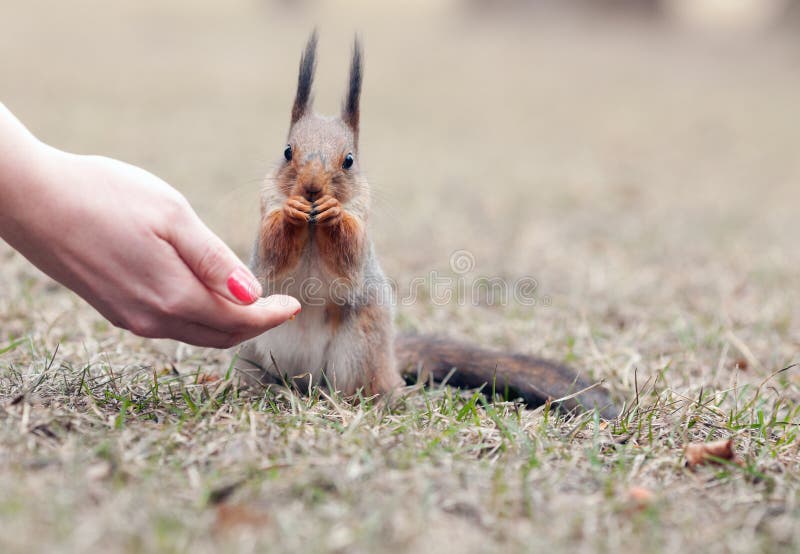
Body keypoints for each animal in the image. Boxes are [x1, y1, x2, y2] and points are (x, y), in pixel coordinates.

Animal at [236, 32, 618, 419]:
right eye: (287, 152)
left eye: (349, 160)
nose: (312, 189)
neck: (312, 228)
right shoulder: (266, 222)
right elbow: (272, 254)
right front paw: (292, 210)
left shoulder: (361, 233)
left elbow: (348, 261)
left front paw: (333, 212)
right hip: (252, 354)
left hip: (359, 348)